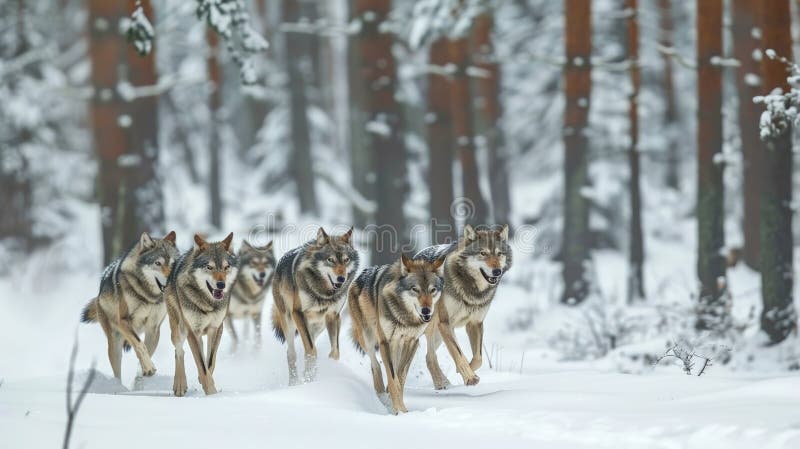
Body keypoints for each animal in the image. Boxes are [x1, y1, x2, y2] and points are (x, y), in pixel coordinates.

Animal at [80, 231, 179, 379]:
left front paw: (143, 374)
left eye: (173, 264)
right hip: (115, 343)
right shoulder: (123, 320)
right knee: (117, 372)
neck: (148, 296)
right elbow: (140, 345)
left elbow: (145, 352)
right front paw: (149, 367)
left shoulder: (153, 327)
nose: (170, 280)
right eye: (158, 263)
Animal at [165, 233, 238, 396]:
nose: (221, 285)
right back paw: (180, 385)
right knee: (179, 351)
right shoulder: (193, 331)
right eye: (209, 267)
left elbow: (209, 362)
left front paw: (207, 385)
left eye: (226, 267)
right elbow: (202, 366)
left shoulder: (216, 329)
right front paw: (211, 393)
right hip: (179, 330)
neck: (208, 303)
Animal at [271, 227, 358, 384]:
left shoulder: (333, 316)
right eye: (331, 260)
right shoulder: (298, 312)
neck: (325, 293)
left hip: (318, 326)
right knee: (291, 353)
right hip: (289, 321)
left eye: (346, 260)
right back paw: (294, 382)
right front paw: (309, 375)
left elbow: (335, 352)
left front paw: (326, 367)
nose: (341, 279)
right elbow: (311, 350)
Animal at [348, 255, 444, 413]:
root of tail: (361, 275)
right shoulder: (385, 342)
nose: (426, 311)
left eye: (433, 290)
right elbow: (393, 377)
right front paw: (399, 409)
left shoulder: (412, 341)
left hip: (397, 345)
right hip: (368, 339)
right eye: (415, 289)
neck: (404, 317)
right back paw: (382, 397)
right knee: (376, 366)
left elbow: (400, 375)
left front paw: (399, 406)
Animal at [415, 224, 512, 389]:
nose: (497, 271)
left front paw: (465, 372)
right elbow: (458, 354)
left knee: (428, 357)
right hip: (431, 325)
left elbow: (478, 358)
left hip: (439, 333)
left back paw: (443, 383)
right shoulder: (445, 322)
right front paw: (469, 377)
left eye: (499, 254)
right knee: (429, 357)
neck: (472, 291)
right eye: (483, 253)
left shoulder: (475, 323)